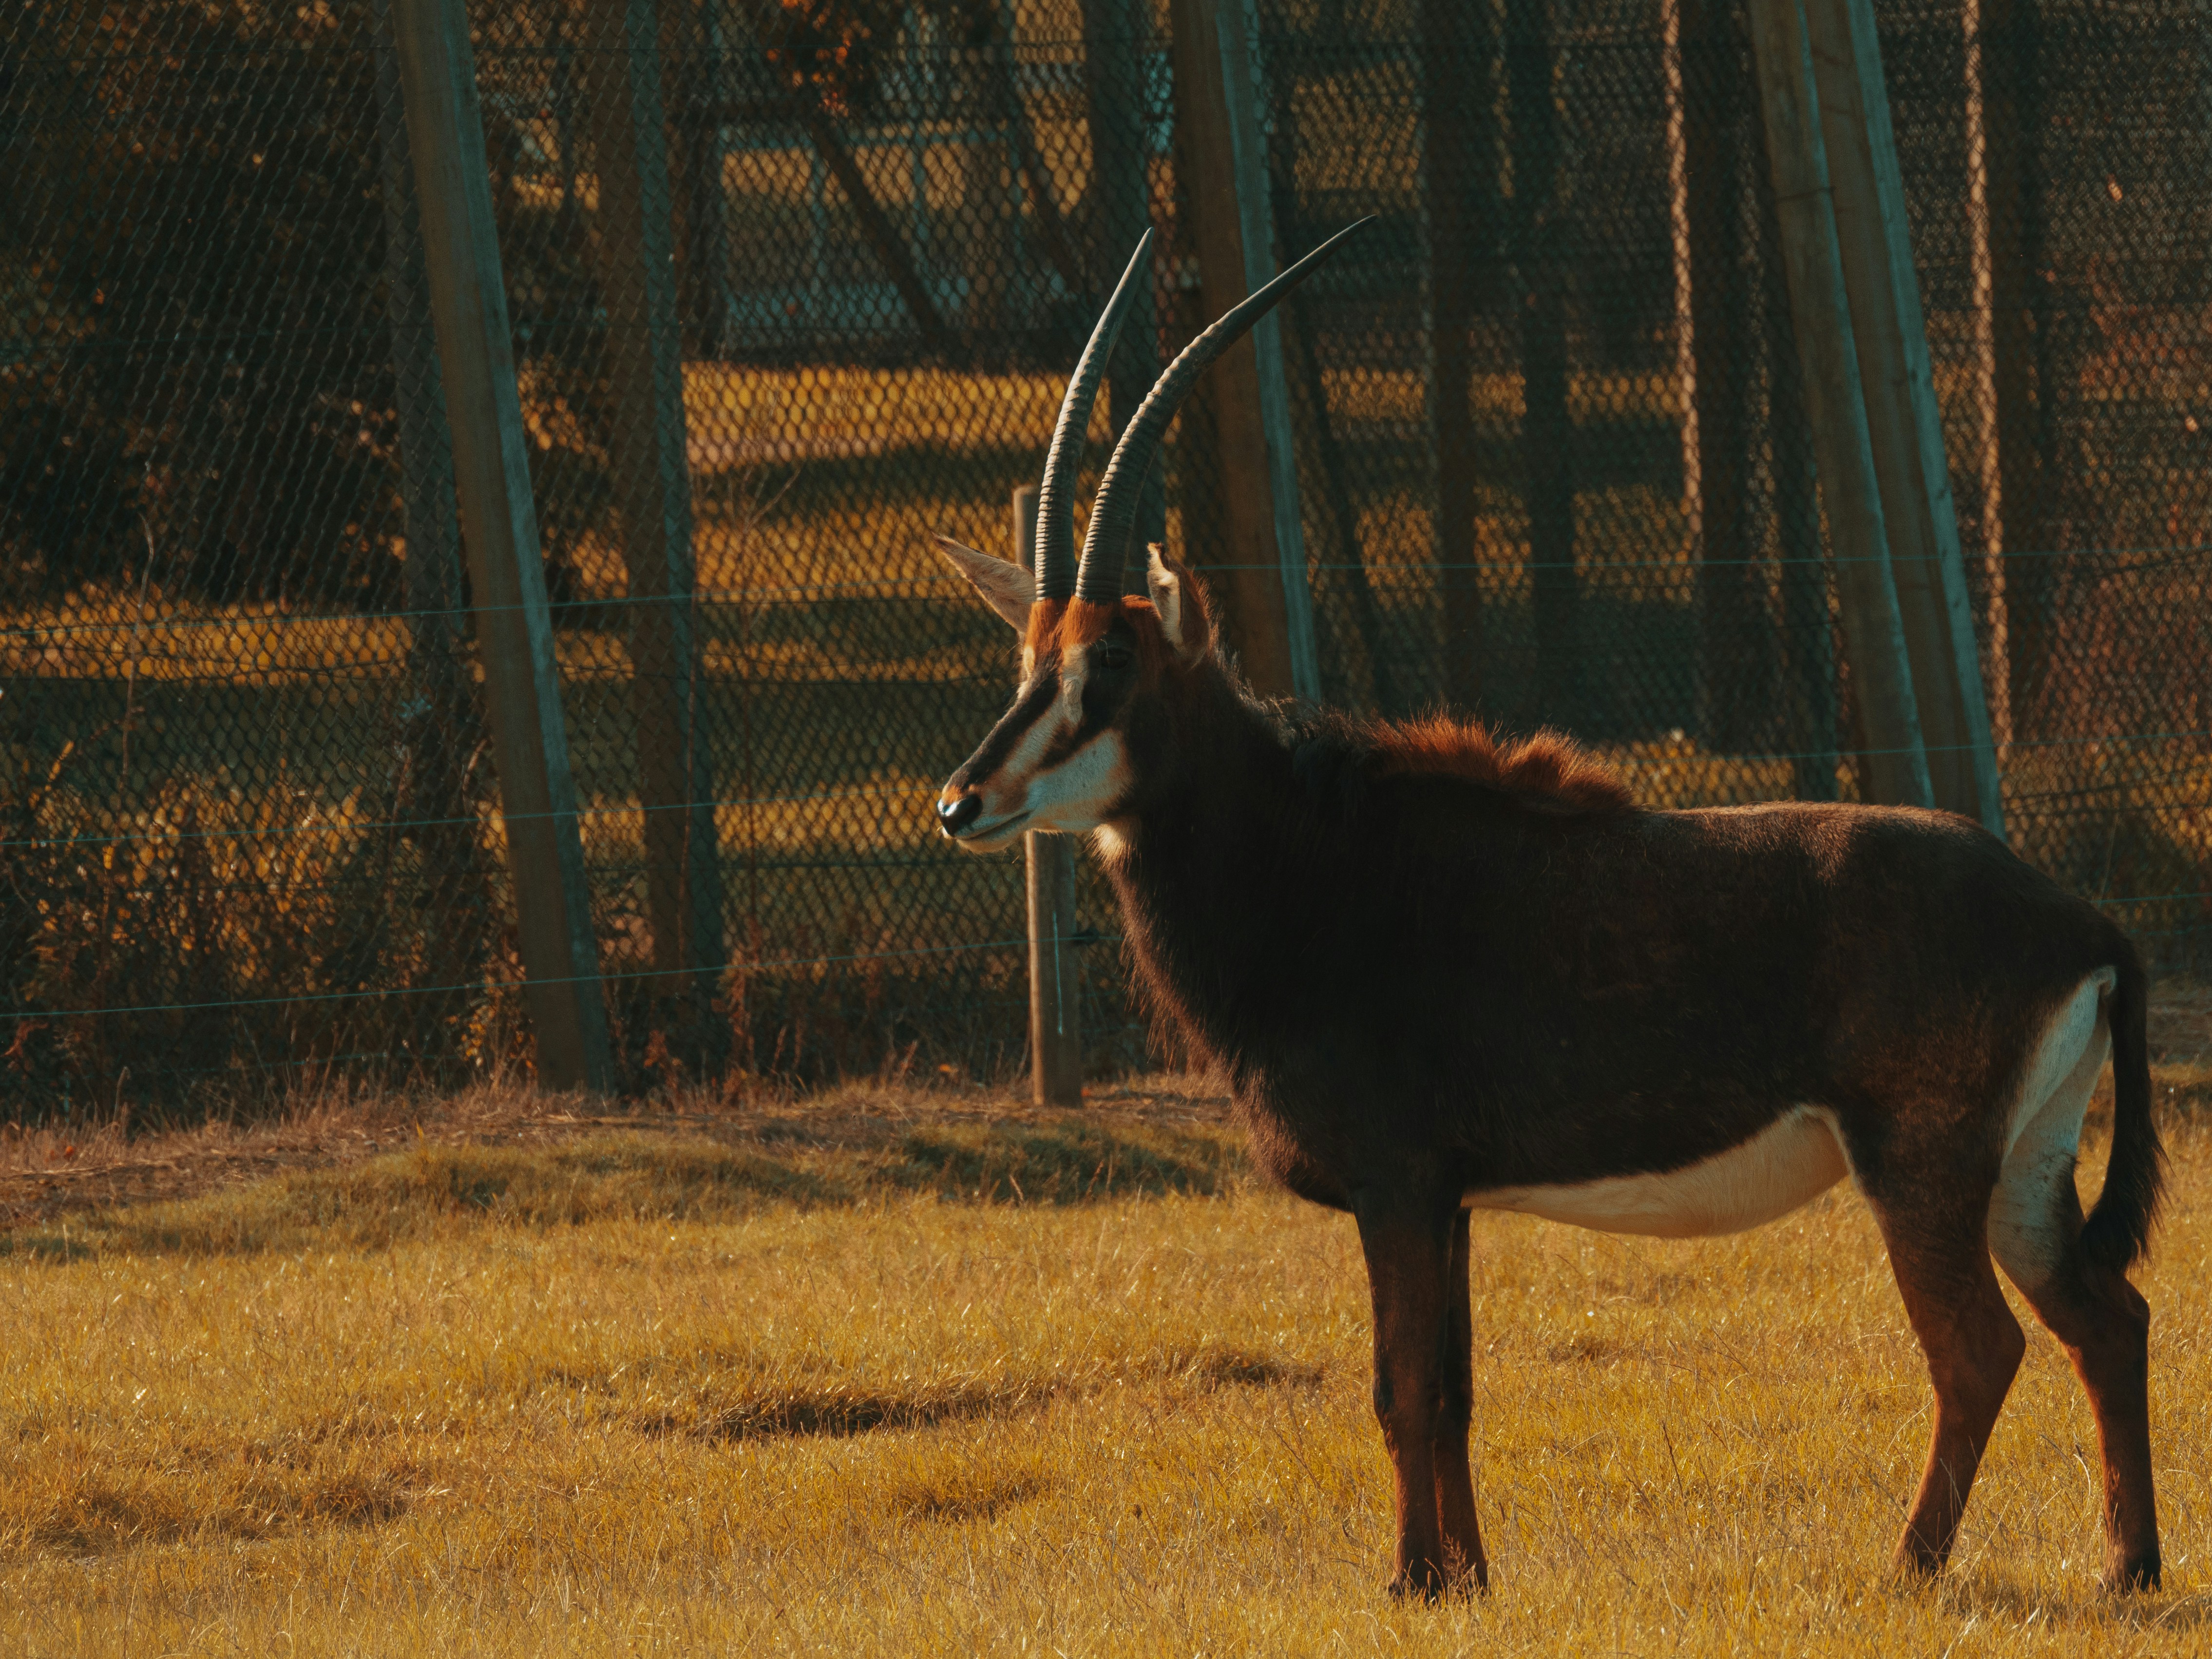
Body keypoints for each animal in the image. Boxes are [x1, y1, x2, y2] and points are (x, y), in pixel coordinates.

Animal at [930, 225, 2165, 1597]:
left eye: (1107, 664)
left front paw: (1409, 1579)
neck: (1313, 858)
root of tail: (2082, 922)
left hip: (1921, 1167)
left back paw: (1907, 1565)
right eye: (1026, 658)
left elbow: (1400, 1388)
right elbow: (1455, 1390)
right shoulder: (1451, 1199)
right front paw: (1467, 1577)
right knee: (2103, 1317)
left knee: (1979, 1347)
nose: (961, 800)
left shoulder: (1396, 1185)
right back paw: (2126, 1566)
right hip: (2025, 1167)